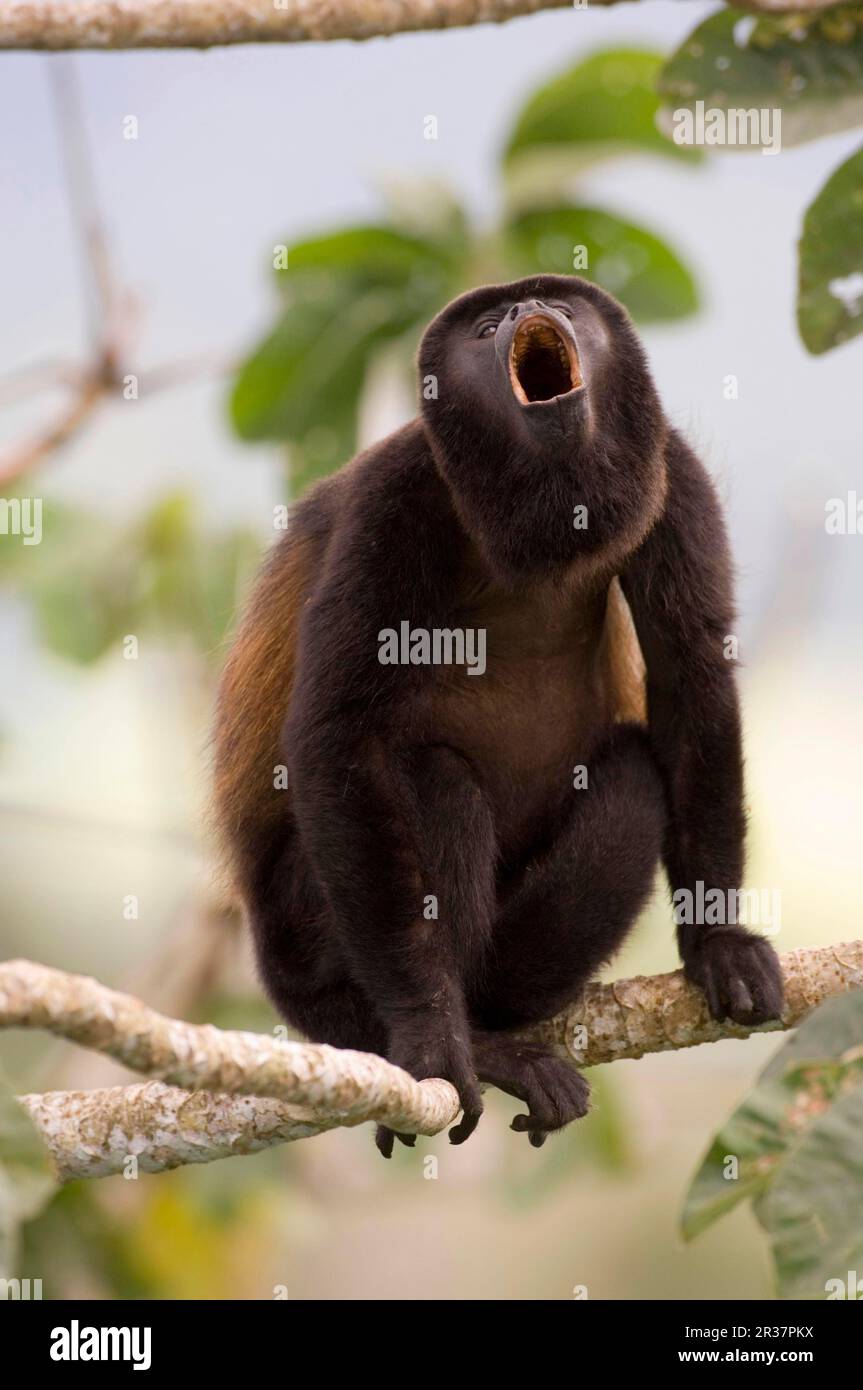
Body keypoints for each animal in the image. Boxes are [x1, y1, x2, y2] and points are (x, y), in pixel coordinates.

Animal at [214, 274, 784, 1157]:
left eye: (561, 304)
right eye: (484, 328)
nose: (522, 312)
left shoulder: (671, 470)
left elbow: (691, 676)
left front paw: (718, 941)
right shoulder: (395, 495)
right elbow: (336, 735)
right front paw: (426, 1036)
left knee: (633, 773)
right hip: (304, 937)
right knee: (431, 782)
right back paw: (464, 1043)